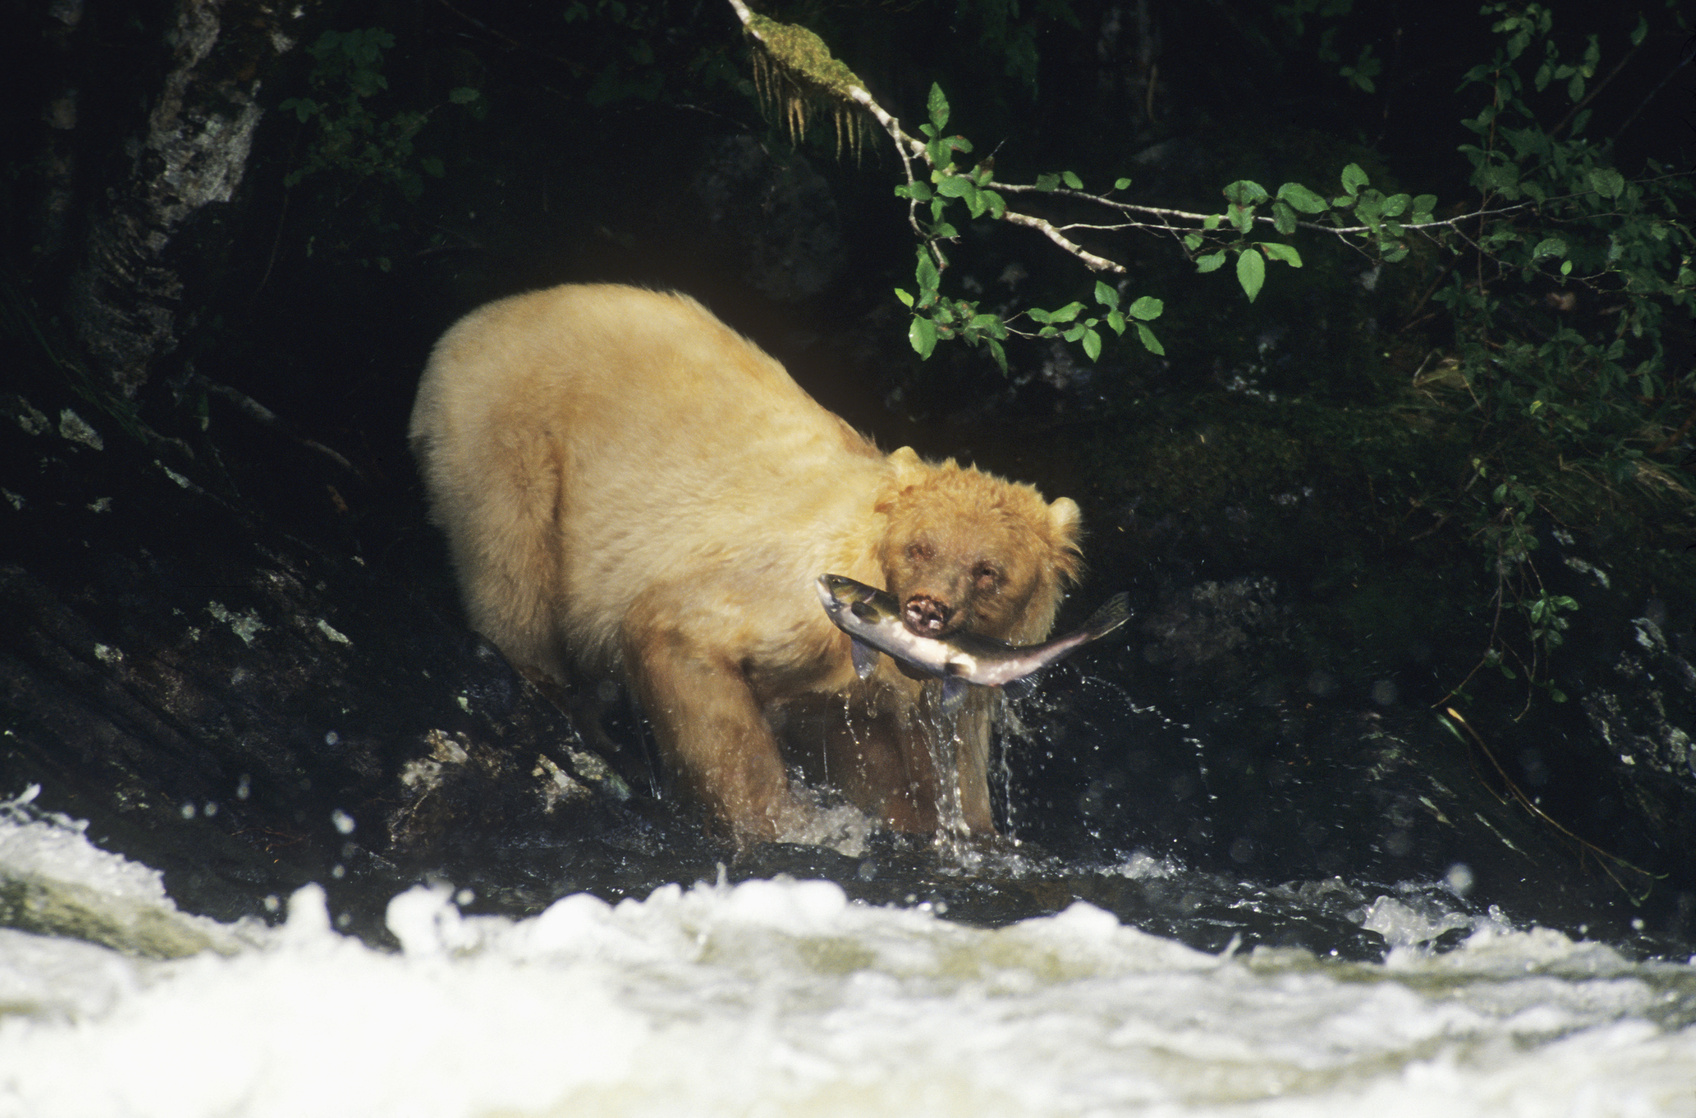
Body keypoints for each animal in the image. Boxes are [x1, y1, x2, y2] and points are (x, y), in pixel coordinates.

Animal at [408, 283, 1082, 841]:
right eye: (921, 546)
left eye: (988, 570)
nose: (926, 610)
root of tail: (471, 323)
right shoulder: (795, 598)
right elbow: (679, 633)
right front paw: (785, 824)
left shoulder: (928, 706)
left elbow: (926, 784)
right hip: (505, 447)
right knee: (512, 583)